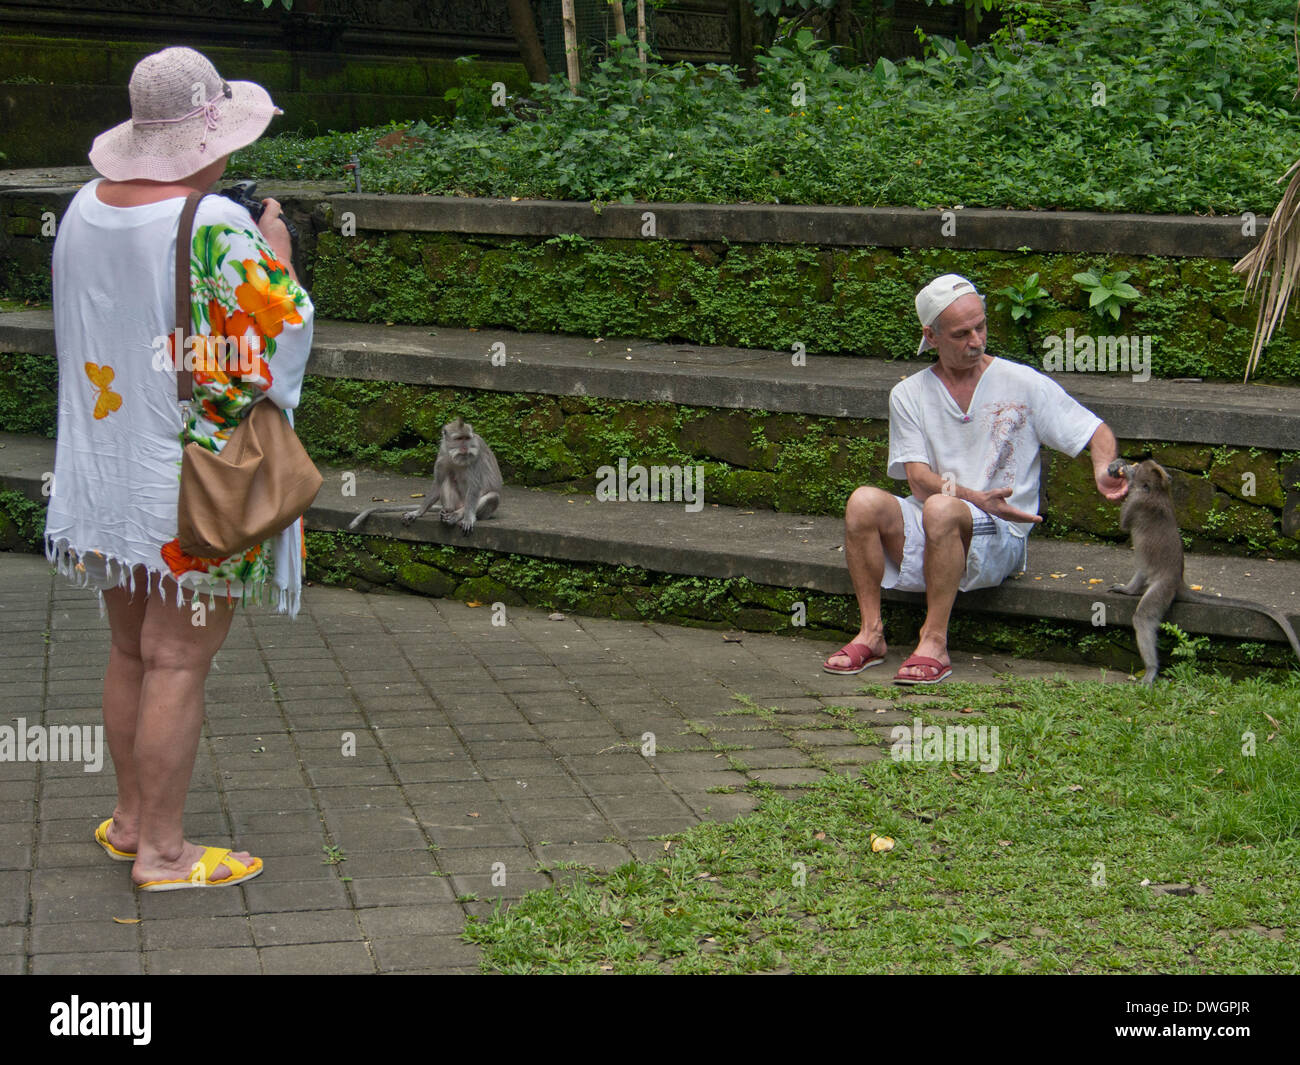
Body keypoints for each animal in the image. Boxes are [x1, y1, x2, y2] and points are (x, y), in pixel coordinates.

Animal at [348, 418, 502, 534]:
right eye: (459, 438)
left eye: (467, 438)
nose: (465, 448)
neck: (454, 456)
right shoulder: (442, 457)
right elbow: (438, 482)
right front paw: (418, 512)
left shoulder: (474, 458)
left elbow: (475, 487)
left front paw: (468, 518)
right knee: (447, 479)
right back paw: (447, 511)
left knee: (492, 496)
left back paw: (456, 515)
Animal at [1107, 458, 1300, 684]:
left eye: (1136, 468)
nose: (1128, 467)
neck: (1157, 492)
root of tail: (1178, 582)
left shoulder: (1137, 503)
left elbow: (1124, 522)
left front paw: (1122, 479)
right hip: (1150, 575)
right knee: (1142, 572)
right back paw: (1129, 590)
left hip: (1163, 588)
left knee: (1143, 618)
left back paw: (1151, 669)